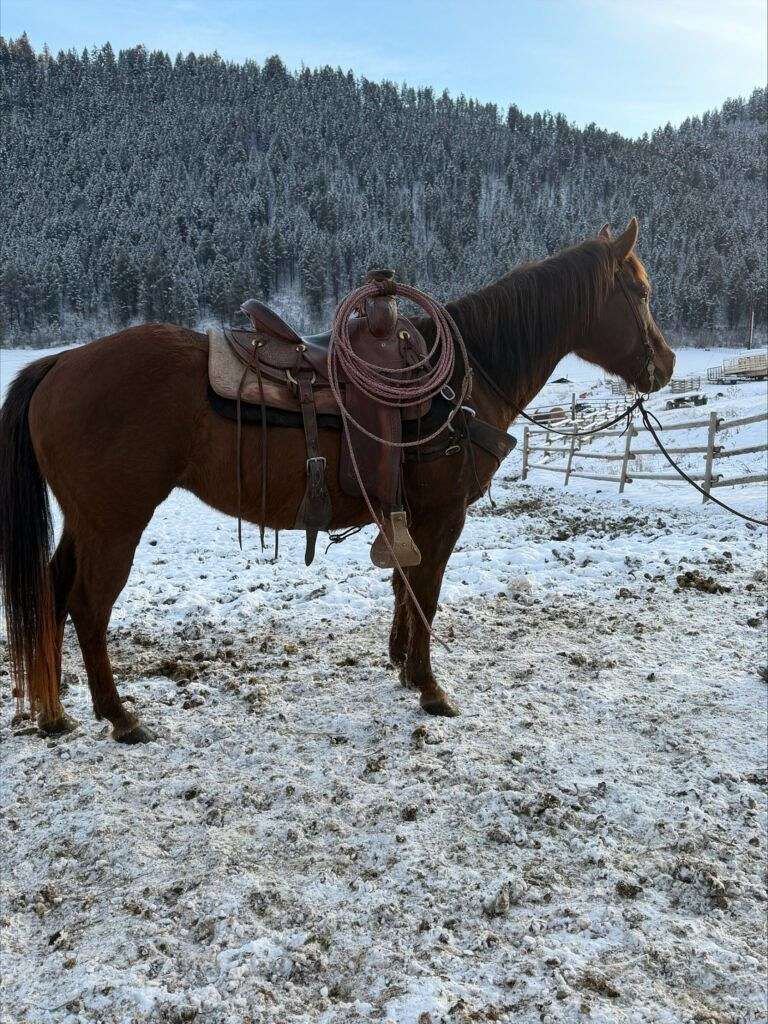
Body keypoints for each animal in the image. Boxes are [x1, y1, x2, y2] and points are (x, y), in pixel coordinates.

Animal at [0, 218, 675, 743]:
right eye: (640, 293)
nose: (665, 366)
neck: (465, 374)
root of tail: (61, 362)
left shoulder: (409, 513)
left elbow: (404, 585)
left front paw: (402, 666)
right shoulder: (443, 513)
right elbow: (426, 592)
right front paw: (430, 688)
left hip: (85, 522)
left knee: (53, 595)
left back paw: (56, 714)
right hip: (115, 523)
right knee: (88, 607)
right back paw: (120, 718)